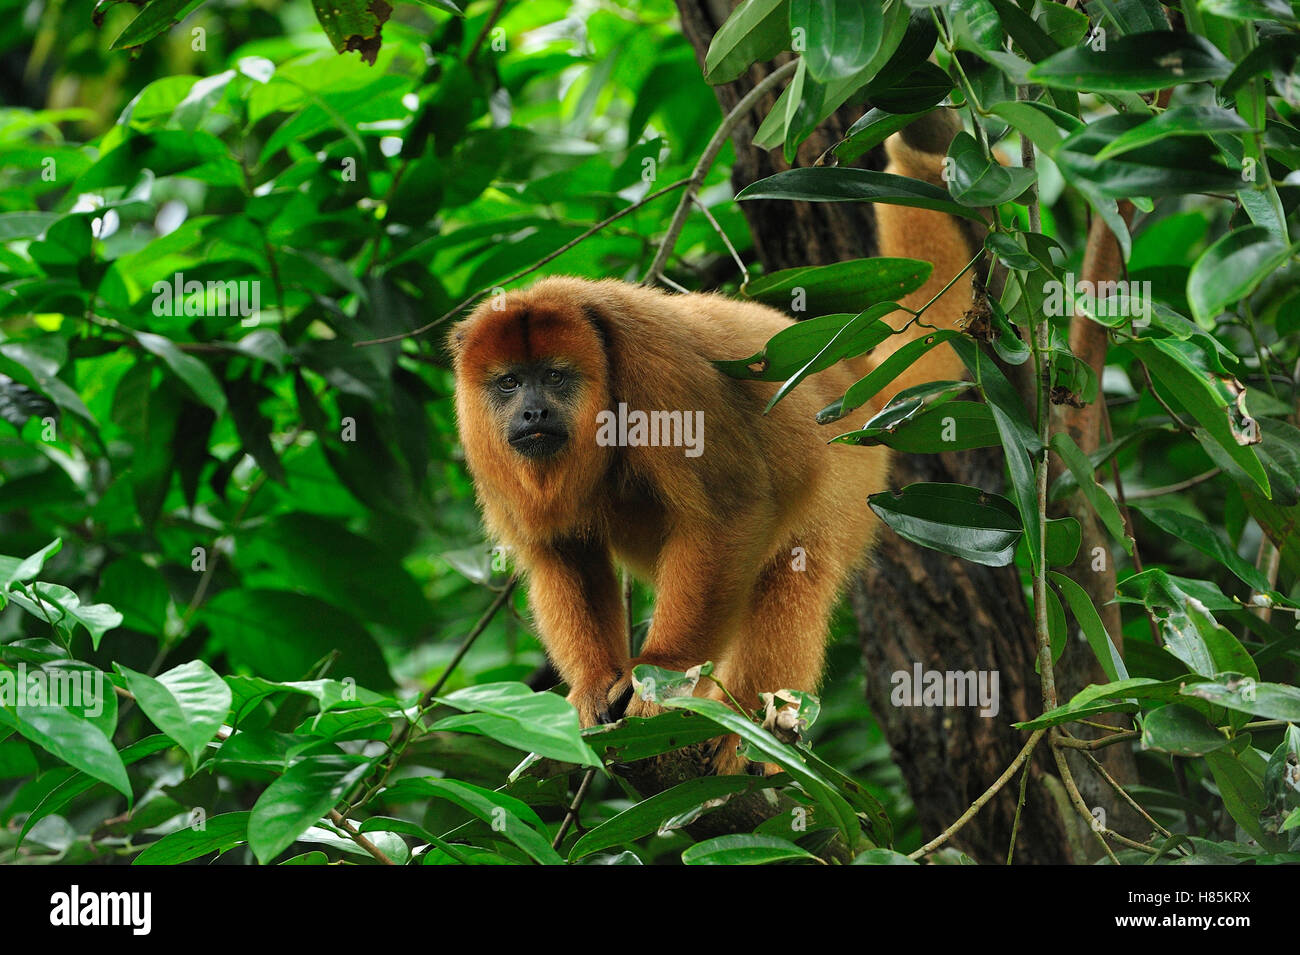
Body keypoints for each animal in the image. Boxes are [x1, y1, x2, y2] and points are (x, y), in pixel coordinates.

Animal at [447, 113, 979, 774]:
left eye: (555, 376)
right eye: (509, 382)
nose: (534, 411)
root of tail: (856, 375)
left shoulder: (657, 365)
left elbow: (730, 511)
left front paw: (660, 679)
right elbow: (560, 550)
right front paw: (596, 686)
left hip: (852, 468)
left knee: (796, 573)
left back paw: (746, 734)